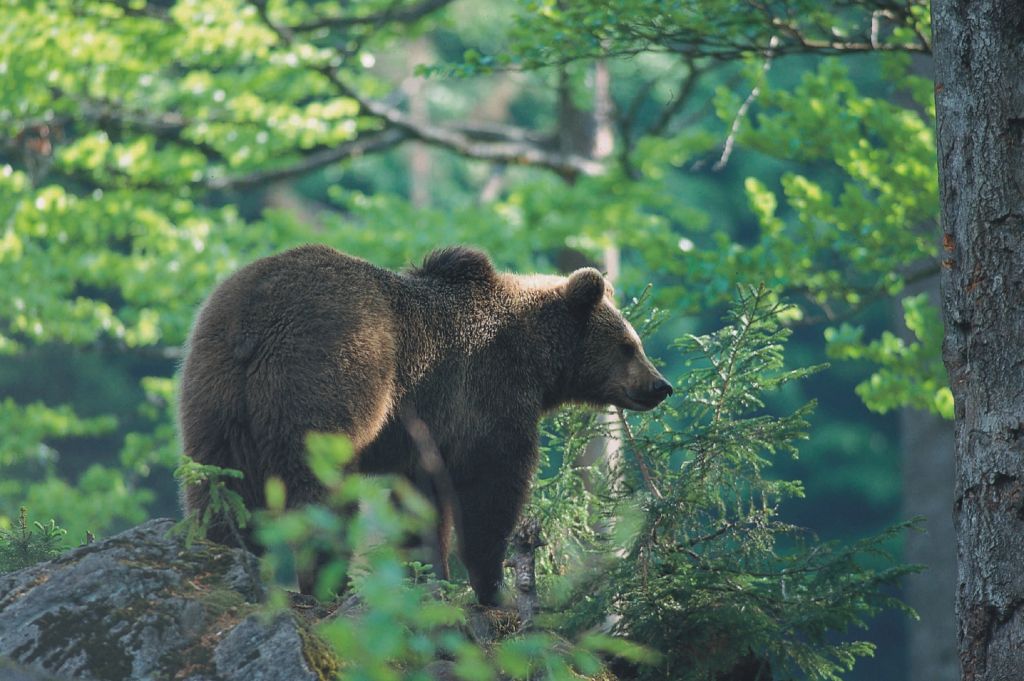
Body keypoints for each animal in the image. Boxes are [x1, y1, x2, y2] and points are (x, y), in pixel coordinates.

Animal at [178, 244, 673, 605]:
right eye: (629, 344)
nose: (661, 385)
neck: (535, 360)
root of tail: (255, 314)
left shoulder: (430, 434)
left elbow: (422, 507)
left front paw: (430, 576)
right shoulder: (487, 397)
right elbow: (491, 490)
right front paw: (493, 589)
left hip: (213, 389)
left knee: (220, 485)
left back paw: (223, 559)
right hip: (329, 372)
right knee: (320, 490)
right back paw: (331, 585)